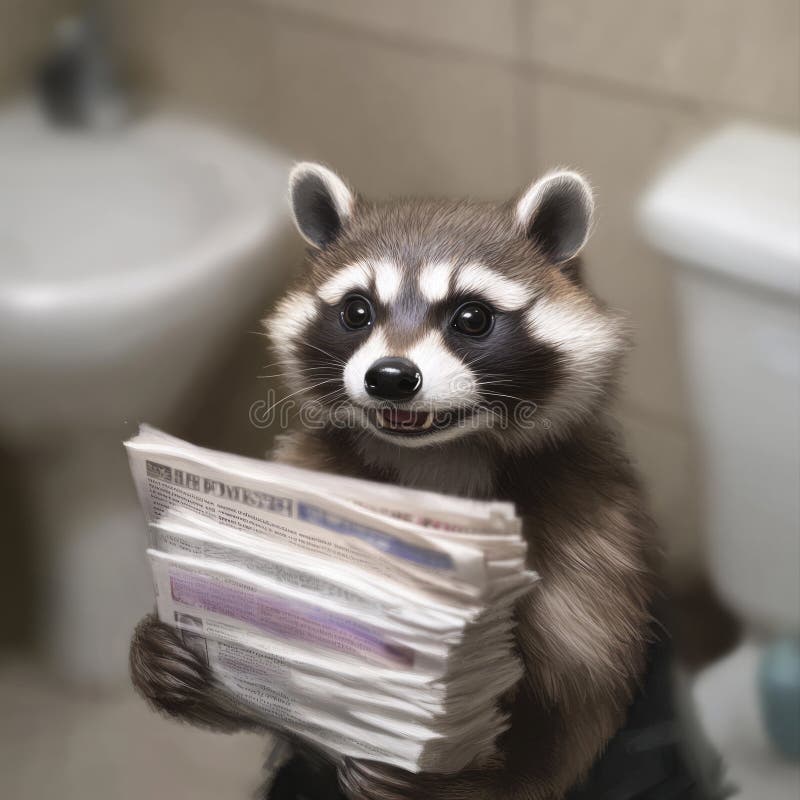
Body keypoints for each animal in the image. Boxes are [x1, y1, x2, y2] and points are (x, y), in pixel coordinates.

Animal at [130, 163, 659, 800]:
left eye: (471, 317)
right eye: (357, 311)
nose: (389, 377)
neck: (435, 458)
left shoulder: (592, 531)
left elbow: (576, 712)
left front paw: (451, 778)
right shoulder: (312, 471)